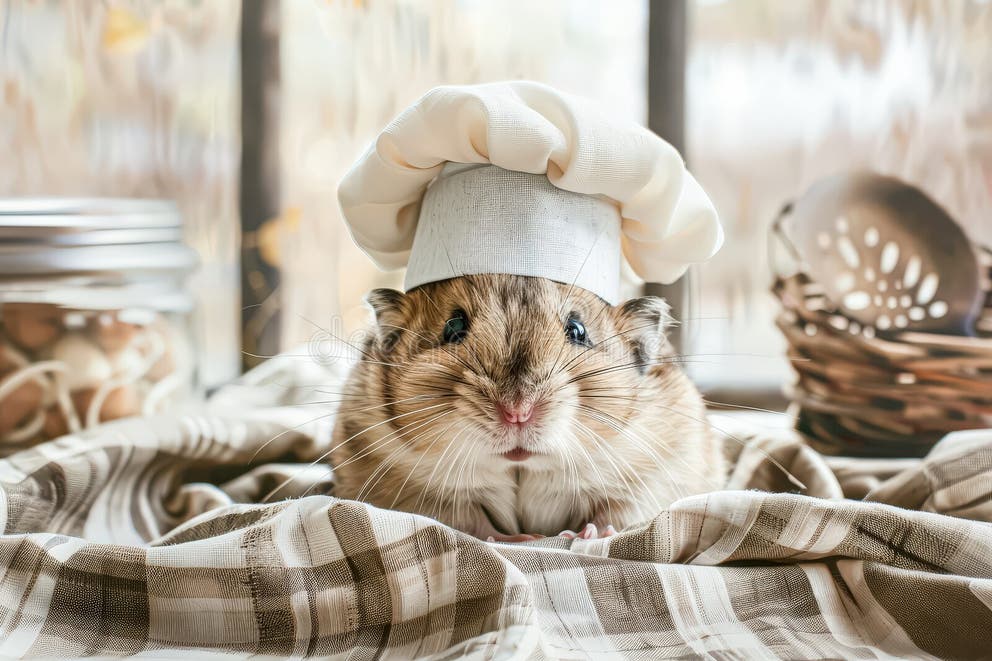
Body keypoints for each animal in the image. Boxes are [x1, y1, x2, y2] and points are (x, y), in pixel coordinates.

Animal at [330, 274, 726, 540]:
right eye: (453, 327)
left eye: (578, 330)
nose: (517, 413)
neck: (521, 465)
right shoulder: (415, 490)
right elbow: (468, 520)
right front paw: (527, 537)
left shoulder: (657, 474)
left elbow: (615, 512)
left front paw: (580, 535)